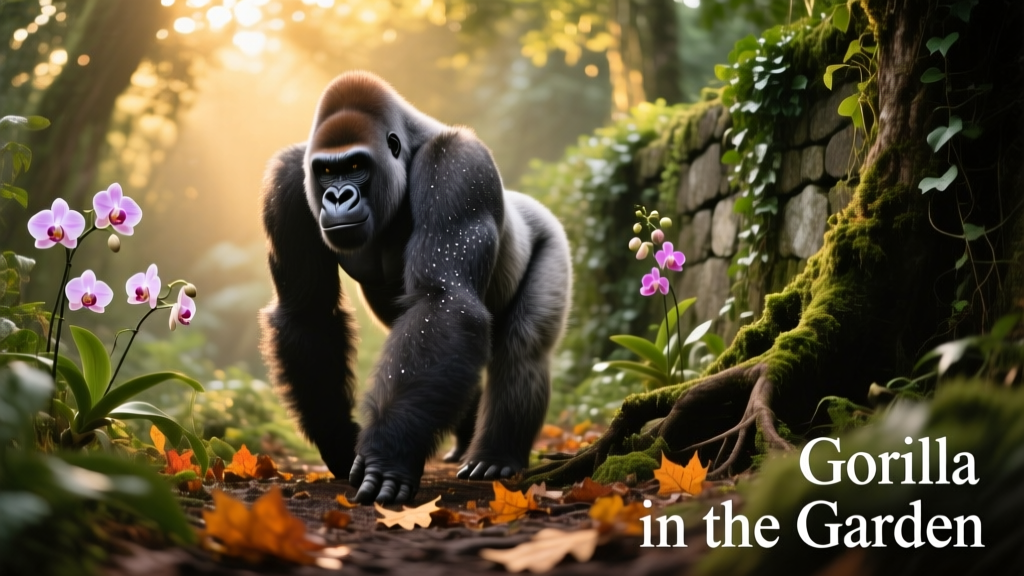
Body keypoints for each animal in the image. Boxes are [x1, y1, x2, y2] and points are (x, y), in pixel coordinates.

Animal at [259, 71, 572, 504]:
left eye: (355, 165)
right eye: (325, 172)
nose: (338, 197)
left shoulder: (458, 168)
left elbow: (444, 301)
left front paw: (389, 452)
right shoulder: (287, 182)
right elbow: (308, 314)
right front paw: (339, 440)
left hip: (550, 236)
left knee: (524, 347)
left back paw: (496, 456)